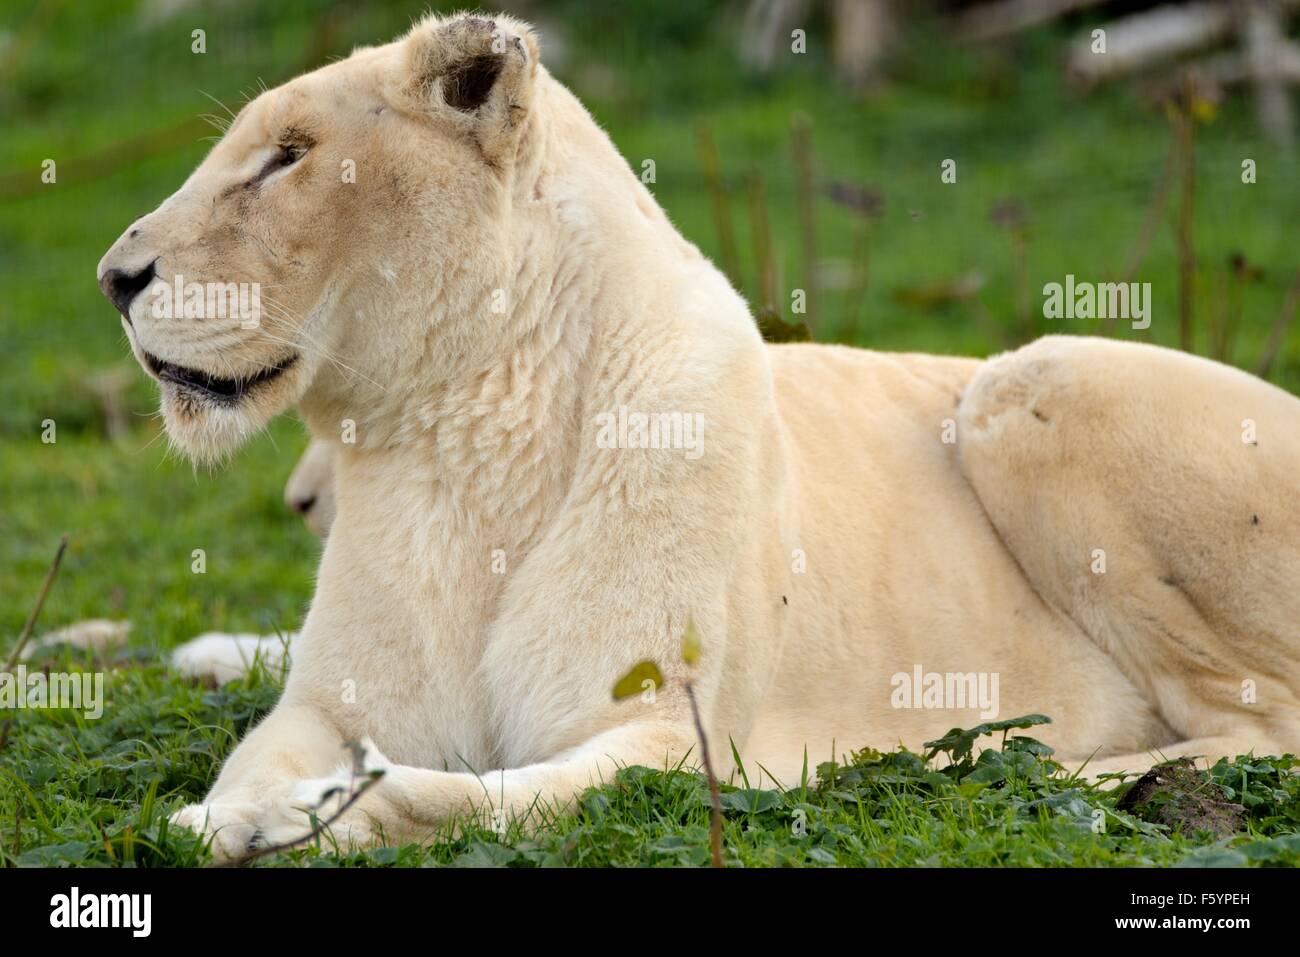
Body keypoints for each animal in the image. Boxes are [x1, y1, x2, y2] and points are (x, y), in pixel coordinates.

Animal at [96, 12, 1300, 860]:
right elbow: (262, 756)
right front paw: (239, 808)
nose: (115, 277)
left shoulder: (671, 739)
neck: (452, 444)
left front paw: (281, 822)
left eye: (287, 156)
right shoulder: (324, 703)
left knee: (1259, 732)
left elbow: (463, 798)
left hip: (1031, 381)